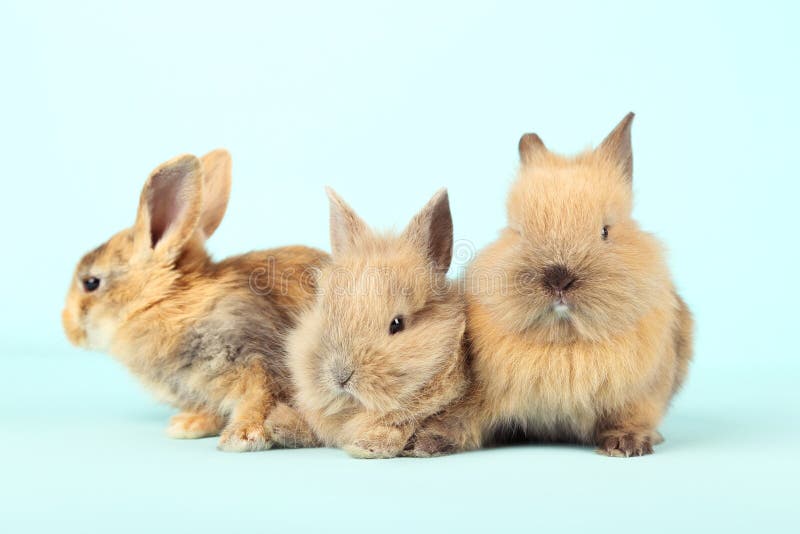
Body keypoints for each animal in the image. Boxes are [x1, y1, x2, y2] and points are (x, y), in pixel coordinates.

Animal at [61, 150, 329, 452]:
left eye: (91, 282)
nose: (68, 330)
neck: (163, 301)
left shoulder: (257, 355)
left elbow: (261, 398)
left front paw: (241, 436)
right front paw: (187, 425)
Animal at [417, 113, 694, 457]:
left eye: (605, 231)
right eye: (519, 232)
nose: (559, 277)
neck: (564, 342)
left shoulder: (643, 393)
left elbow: (633, 415)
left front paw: (627, 444)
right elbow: (463, 419)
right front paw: (426, 441)